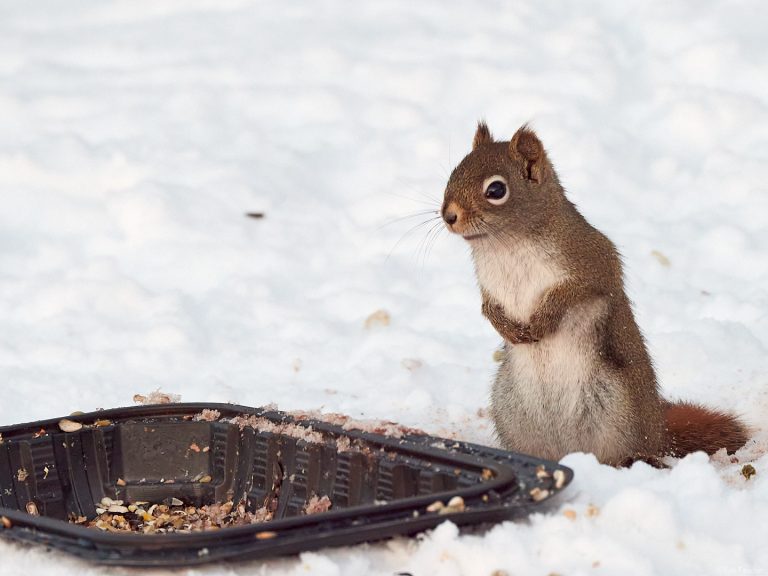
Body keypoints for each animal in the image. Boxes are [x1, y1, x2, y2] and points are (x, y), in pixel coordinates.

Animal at [441, 122, 749, 466]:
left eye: (496, 190)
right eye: (455, 172)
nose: (448, 215)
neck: (503, 245)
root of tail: (659, 434)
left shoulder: (594, 264)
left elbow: (573, 293)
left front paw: (543, 321)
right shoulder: (488, 286)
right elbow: (487, 307)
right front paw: (506, 326)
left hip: (620, 410)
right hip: (510, 409)